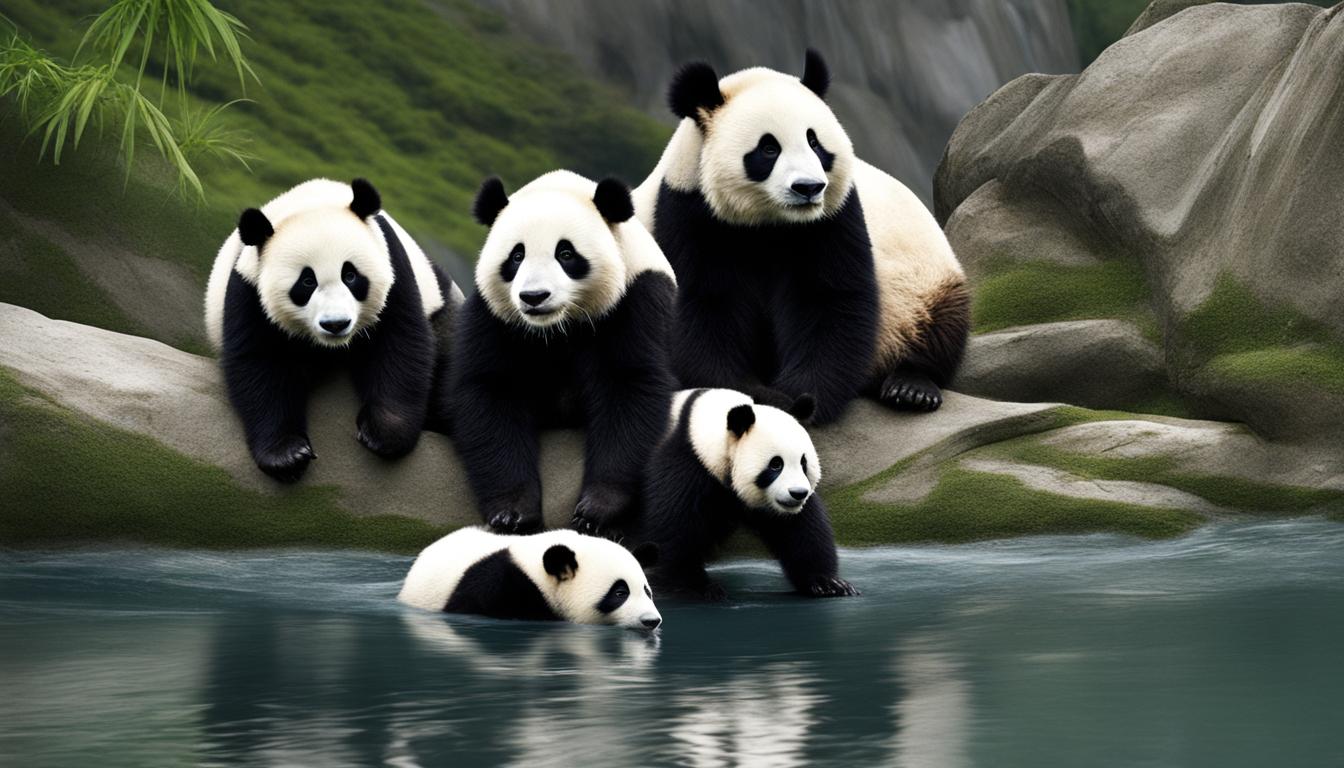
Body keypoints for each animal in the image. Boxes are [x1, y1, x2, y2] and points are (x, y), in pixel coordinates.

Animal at [204, 178, 460, 482]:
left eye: (350, 275)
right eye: (306, 282)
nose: (336, 324)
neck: (313, 204)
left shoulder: (393, 265)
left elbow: (400, 343)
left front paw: (383, 433)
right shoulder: (249, 288)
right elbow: (259, 365)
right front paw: (287, 456)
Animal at [450, 170, 677, 535]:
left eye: (566, 254)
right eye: (516, 256)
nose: (534, 296)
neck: (556, 328)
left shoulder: (636, 299)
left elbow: (629, 386)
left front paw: (596, 510)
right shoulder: (494, 316)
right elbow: (491, 392)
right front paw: (513, 512)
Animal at [627, 387, 858, 600]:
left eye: (803, 463)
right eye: (776, 464)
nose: (798, 493)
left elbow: (800, 527)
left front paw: (828, 583)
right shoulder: (687, 461)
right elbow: (674, 527)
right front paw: (697, 588)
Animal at [633, 49, 970, 423]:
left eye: (814, 142)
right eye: (768, 148)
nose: (808, 188)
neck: (770, 223)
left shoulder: (832, 219)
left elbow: (828, 300)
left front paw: (802, 399)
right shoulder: (689, 212)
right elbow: (704, 304)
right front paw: (756, 396)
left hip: (924, 275)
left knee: (942, 323)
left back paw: (911, 385)